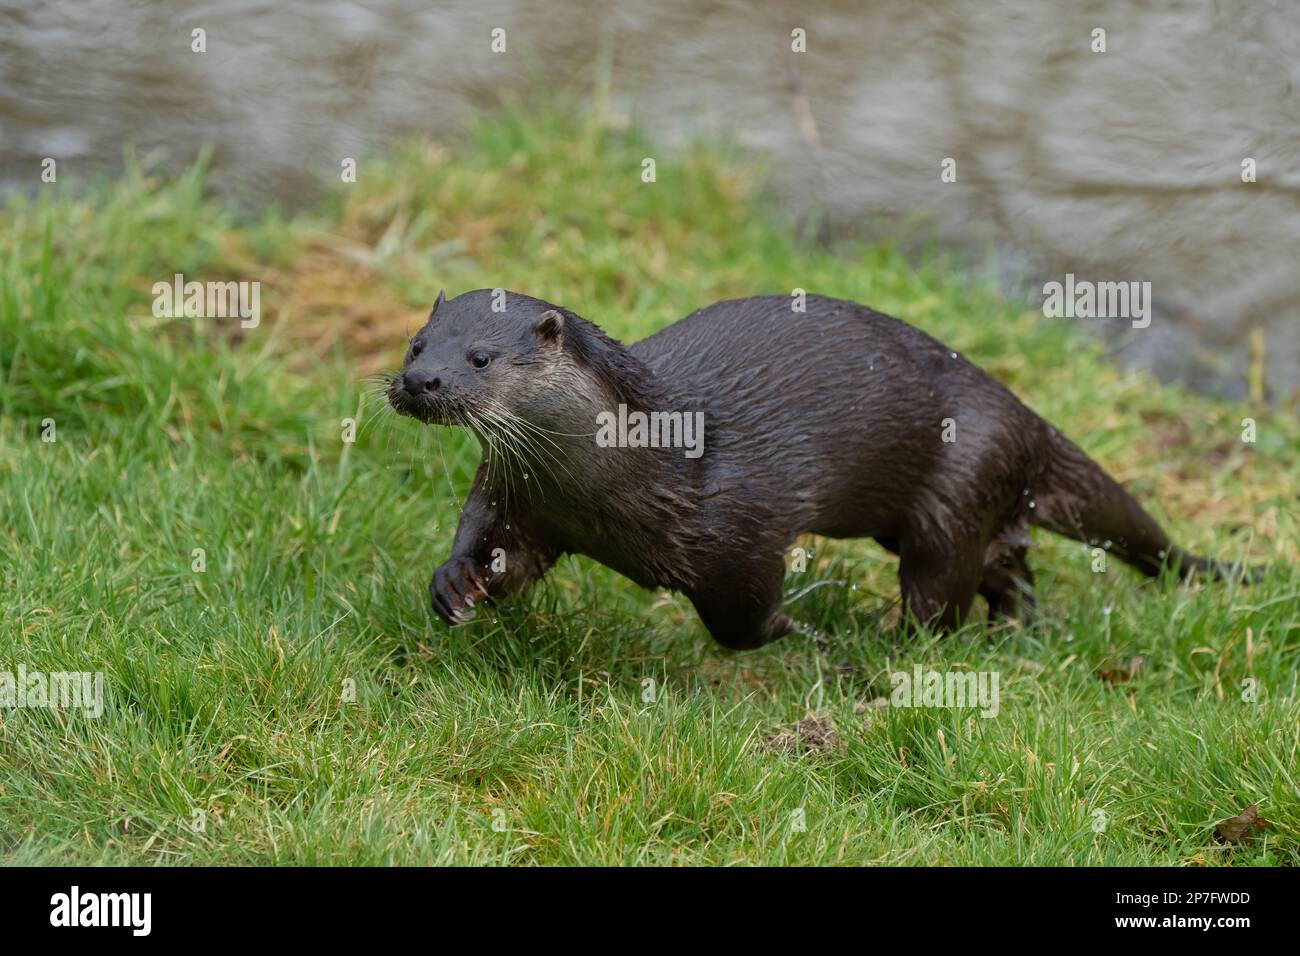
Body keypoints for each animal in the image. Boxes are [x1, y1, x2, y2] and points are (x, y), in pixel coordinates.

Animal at [387, 289, 1252, 649]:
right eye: (415, 342)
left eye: (480, 356)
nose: (418, 382)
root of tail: (1019, 412)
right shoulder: (523, 497)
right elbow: (495, 544)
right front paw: (455, 583)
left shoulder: (746, 527)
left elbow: (739, 624)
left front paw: (798, 628)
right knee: (1010, 565)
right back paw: (1022, 632)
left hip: (959, 480)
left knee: (941, 595)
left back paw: (886, 641)